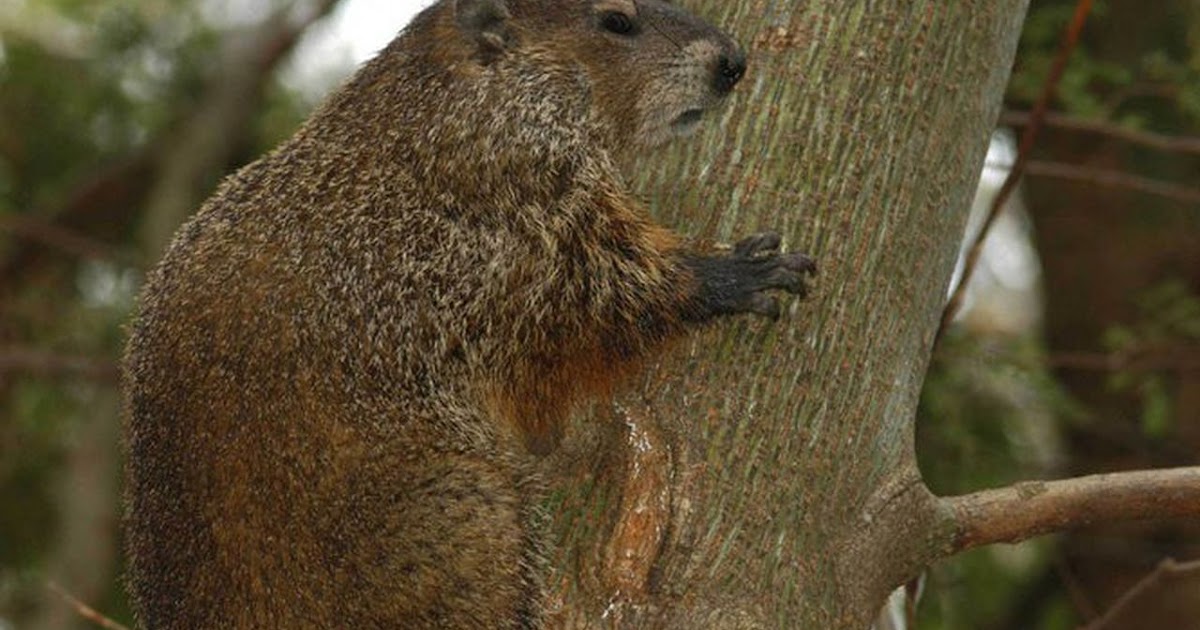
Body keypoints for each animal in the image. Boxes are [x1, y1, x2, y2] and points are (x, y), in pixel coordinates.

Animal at [122, 0, 815, 627]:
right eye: (617, 21)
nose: (733, 60)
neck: (448, 124)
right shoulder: (501, 234)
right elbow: (590, 295)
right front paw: (731, 274)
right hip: (465, 506)